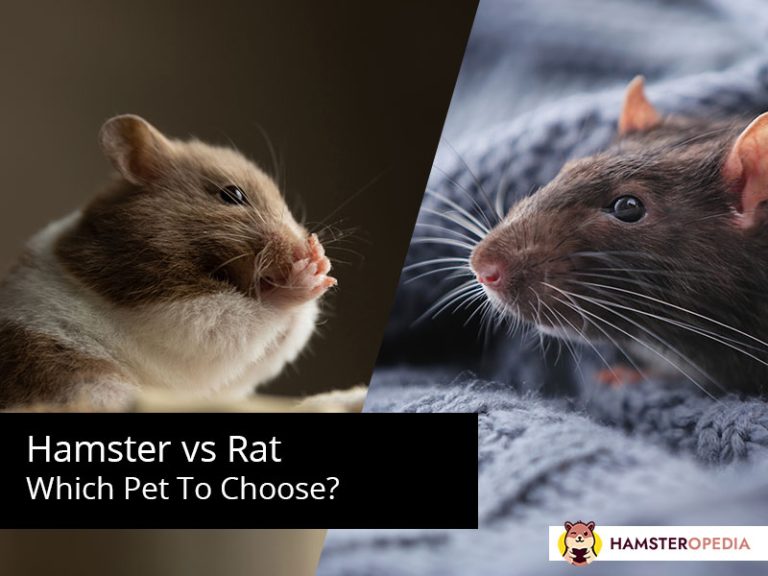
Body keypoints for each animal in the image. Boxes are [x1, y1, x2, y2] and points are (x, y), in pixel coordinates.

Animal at [0, 115, 337, 409]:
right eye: (232, 194)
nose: (300, 252)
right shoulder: (155, 296)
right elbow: (234, 317)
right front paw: (304, 277)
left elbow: (286, 334)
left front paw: (320, 262)